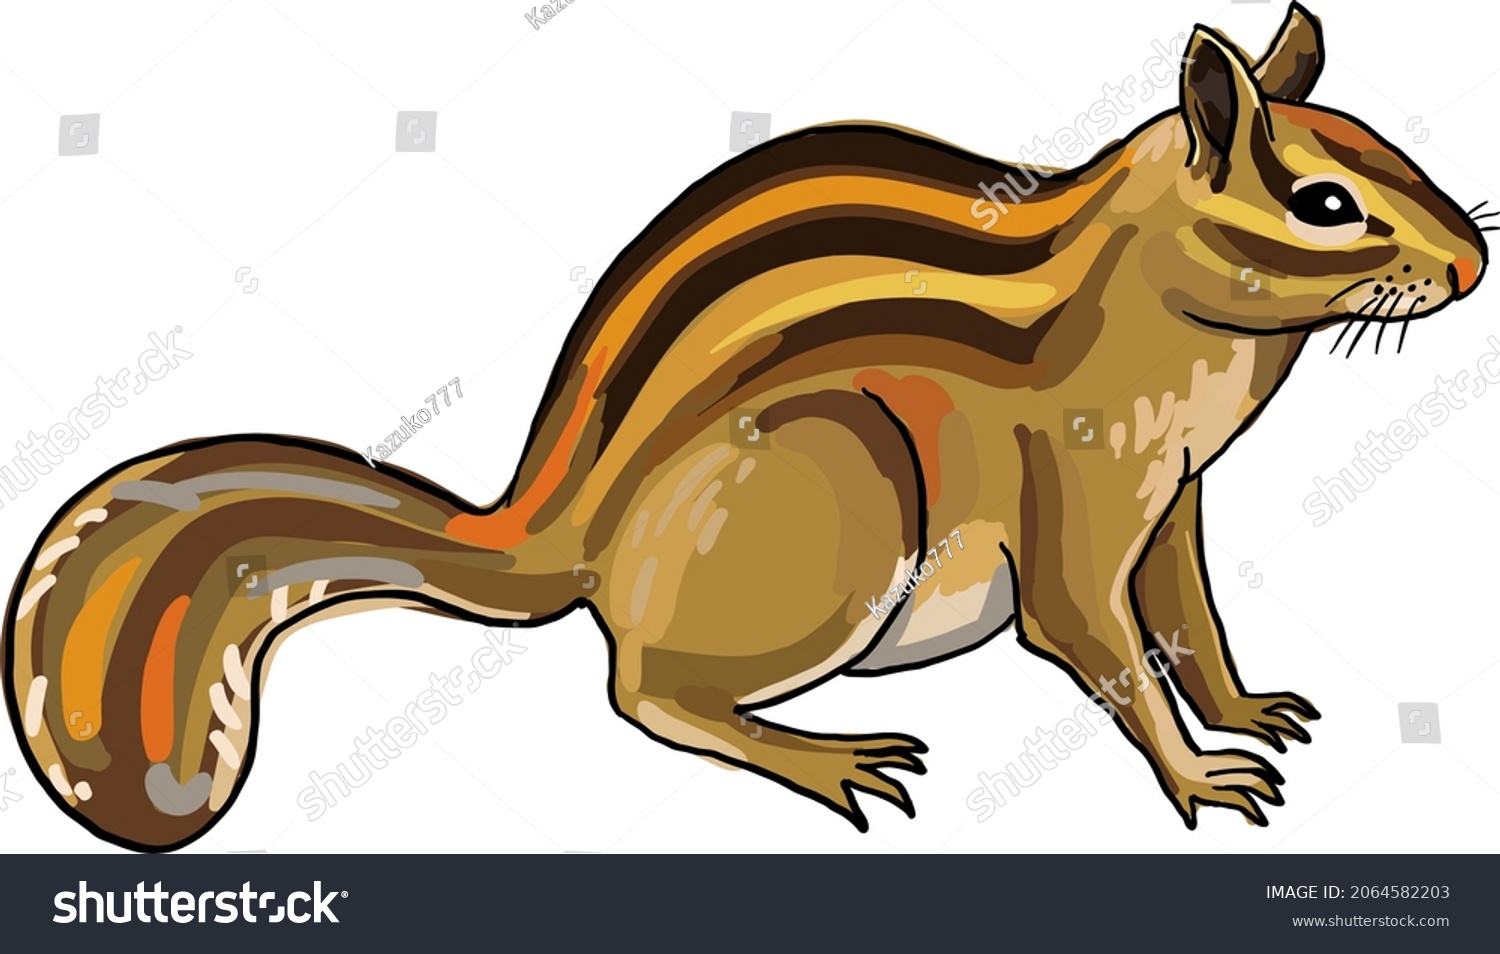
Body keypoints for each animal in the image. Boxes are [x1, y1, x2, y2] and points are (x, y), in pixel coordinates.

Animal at [4, 3, 1487, 851]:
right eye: (1323, 202)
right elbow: (1100, 640)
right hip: (846, 483)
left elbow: (1189, 617)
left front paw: (1248, 708)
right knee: (642, 691)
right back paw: (822, 757)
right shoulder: (1078, 492)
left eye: (1389, 152)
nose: (1473, 262)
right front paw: (1199, 779)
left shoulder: (1170, 500)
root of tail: (572, 546)